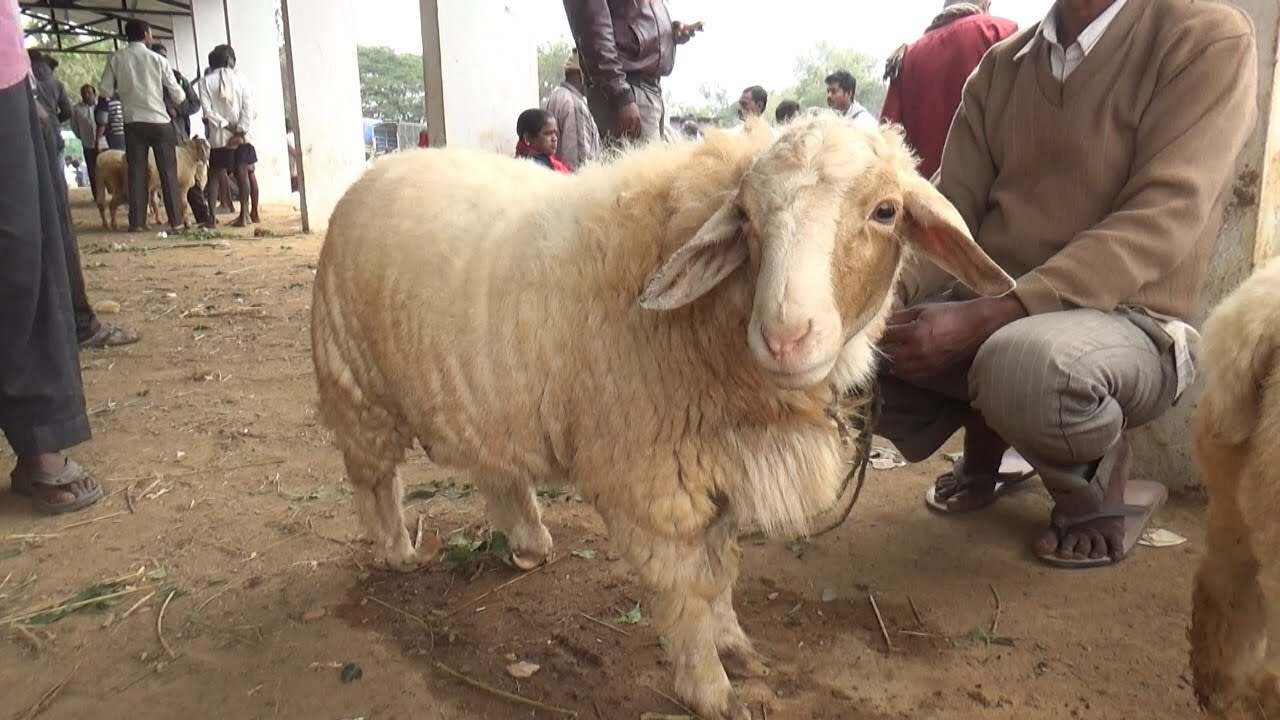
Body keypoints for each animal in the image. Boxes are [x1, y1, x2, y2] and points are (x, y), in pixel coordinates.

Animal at [310, 113, 1015, 719]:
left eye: (886, 211)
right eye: (747, 219)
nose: (785, 338)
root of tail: (386, 164)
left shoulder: (720, 468)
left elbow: (722, 572)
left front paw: (736, 647)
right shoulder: (650, 490)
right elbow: (686, 594)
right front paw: (711, 688)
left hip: (485, 392)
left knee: (497, 469)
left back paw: (530, 545)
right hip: (355, 382)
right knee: (377, 481)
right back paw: (399, 554)